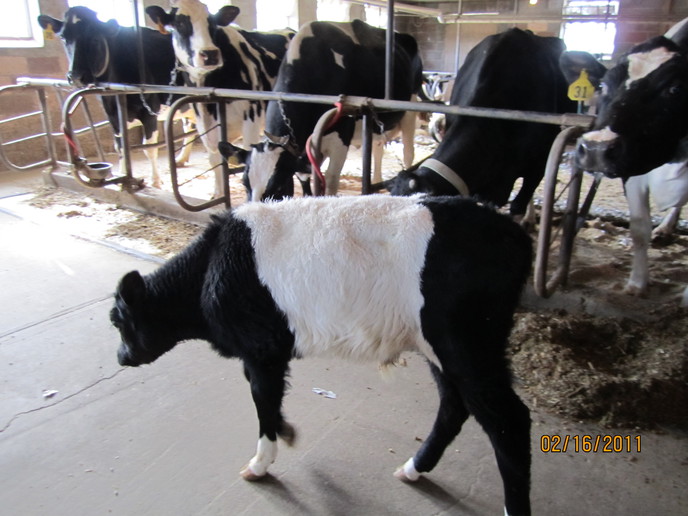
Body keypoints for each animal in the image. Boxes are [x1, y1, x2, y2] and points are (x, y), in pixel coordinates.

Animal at [37, 6, 193, 189]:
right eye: (63, 37)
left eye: (95, 37)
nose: (75, 76)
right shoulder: (112, 115)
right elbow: (120, 148)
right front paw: (122, 179)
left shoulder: (149, 111)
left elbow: (149, 149)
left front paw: (155, 182)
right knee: (190, 128)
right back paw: (181, 159)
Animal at [110, 194, 533, 516]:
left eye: (118, 320)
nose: (120, 357)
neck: (210, 270)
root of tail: (512, 232)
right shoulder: (265, 351)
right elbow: (269, 400)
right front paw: (286, 431)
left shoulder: (261, 348)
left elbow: (261, 401)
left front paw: (261, 462)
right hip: (440, 347)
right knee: (454, 405)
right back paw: (413, 468)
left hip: (466, 343)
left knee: (508, 420)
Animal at [145, 1, 295, 197]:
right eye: (179, 24)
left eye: (213, 24)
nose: (210, 54)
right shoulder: (204, 123)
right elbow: (215, 160)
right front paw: (218, 193)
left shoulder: (251, 118)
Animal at [218, 19, 423, 202]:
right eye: (245, 184)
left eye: (279, 186)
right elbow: (305, 176)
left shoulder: (341, 136)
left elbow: (331, 179)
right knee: (378, 149)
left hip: (410, 108)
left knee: (408, 153)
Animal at [565, 20, 688, 305]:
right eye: (602, 86)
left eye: (675, 88)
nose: (597, 148)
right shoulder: (632, 171)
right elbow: (639, 228)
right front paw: (637, 284)